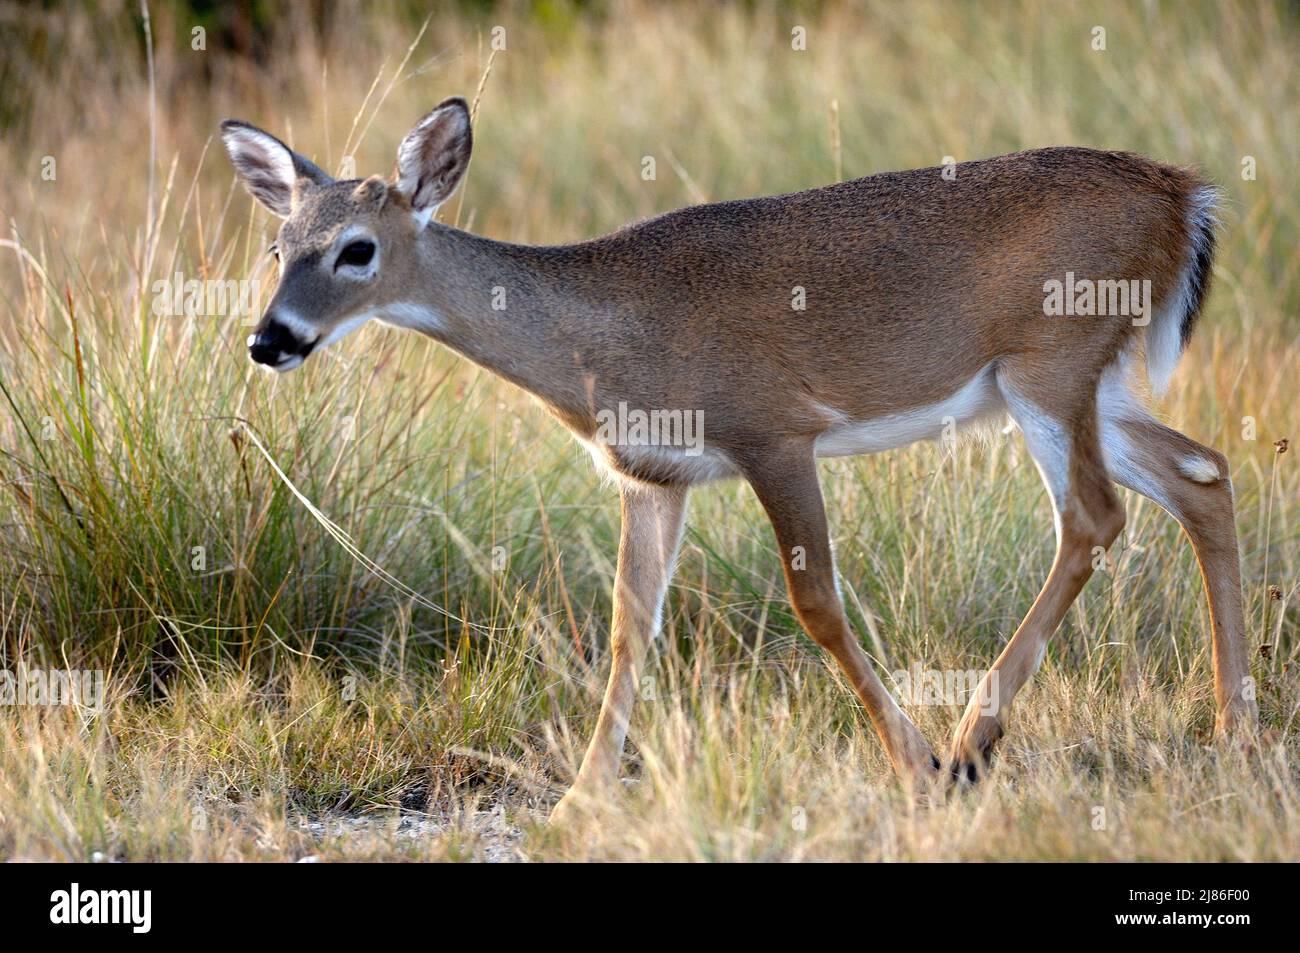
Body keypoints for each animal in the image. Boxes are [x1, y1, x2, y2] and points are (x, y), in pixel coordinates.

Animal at [220, 97, 1258, 824]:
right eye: (277, 245)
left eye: (357, 249)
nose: (271, 339)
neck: (598, 334)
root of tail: (1185, 193)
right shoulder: (653, 475)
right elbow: (629, 626)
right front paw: (580, 801)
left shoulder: (773, 429)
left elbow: (817, 602)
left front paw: (914, 765)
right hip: (1087, 383)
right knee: (1202, 474)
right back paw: (1231, 728)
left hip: (1048, 363)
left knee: (1094, 515)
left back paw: (972, 739)